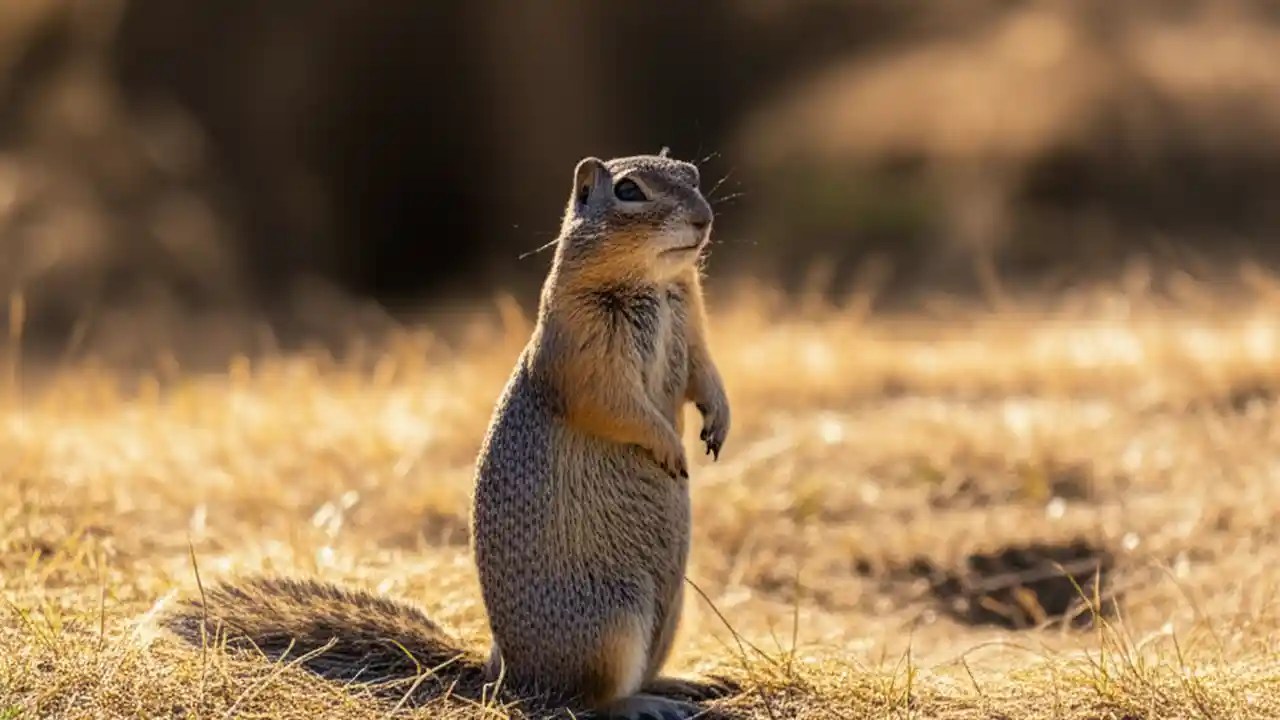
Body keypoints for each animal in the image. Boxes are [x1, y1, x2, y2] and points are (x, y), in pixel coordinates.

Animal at [161, 152, 733, 720]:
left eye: (693, 174)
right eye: (630, 191)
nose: (704, 218)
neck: (656, 285)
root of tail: (501, 672)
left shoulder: (694, 325)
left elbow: (702, 374)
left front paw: (718, 420)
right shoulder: (582, 353)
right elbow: (615, 405)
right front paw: (670, 446)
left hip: (669, 615)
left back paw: (689, 682)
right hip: (613, 624)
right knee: (586, 698)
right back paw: (643, 702)